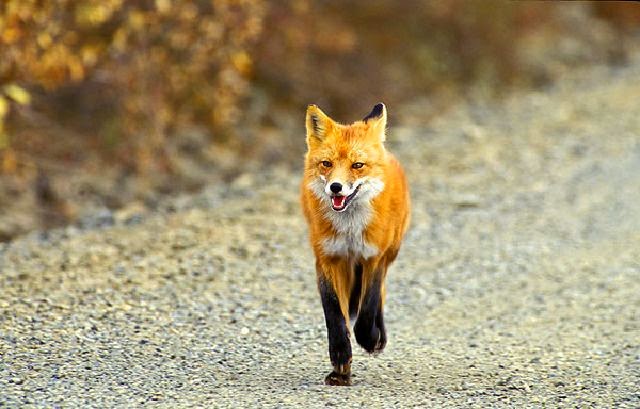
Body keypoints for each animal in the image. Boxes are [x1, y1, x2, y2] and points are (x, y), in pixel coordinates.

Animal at [300, 103, 411, 386]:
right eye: (326, 164)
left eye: (357, 165)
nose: (336, 188)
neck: (350, 230)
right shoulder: (327, 258)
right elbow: (333, 312)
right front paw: (340, 360)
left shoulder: (374, 256)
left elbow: (368, 304)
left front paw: (368, 339)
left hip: (390, 251)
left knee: (378, 294)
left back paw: (378, 335)